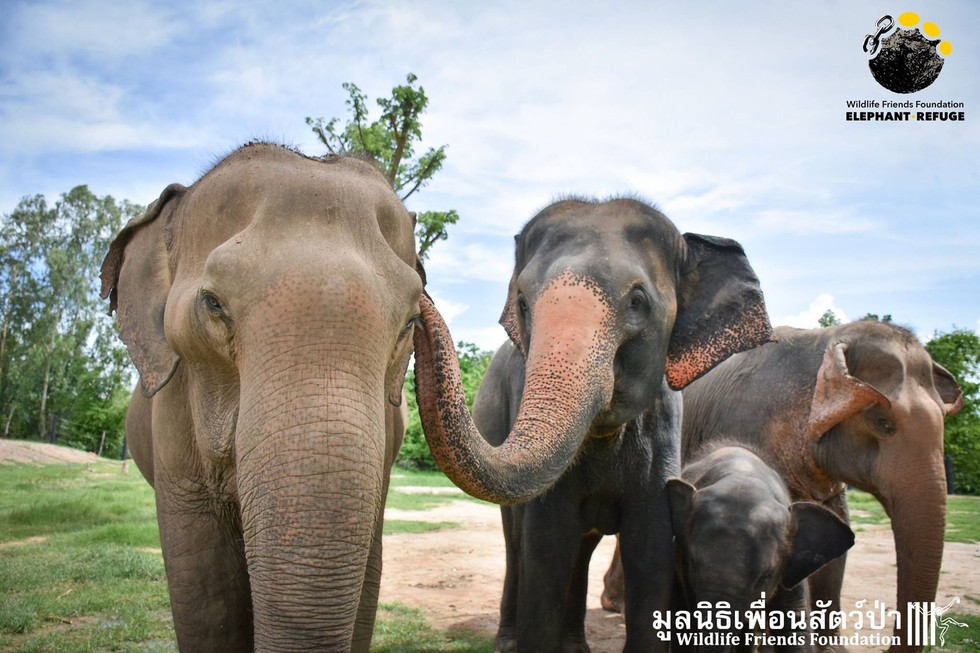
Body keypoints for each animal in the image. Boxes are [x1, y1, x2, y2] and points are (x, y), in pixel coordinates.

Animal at [411, 197, 773, 652]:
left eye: (637, 301)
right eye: (523, 303)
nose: (420, 281)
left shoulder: (664, 436)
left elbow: (651, 548)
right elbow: (544, 545)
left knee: (581, 547)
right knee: (517, 541)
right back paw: (508, 640)